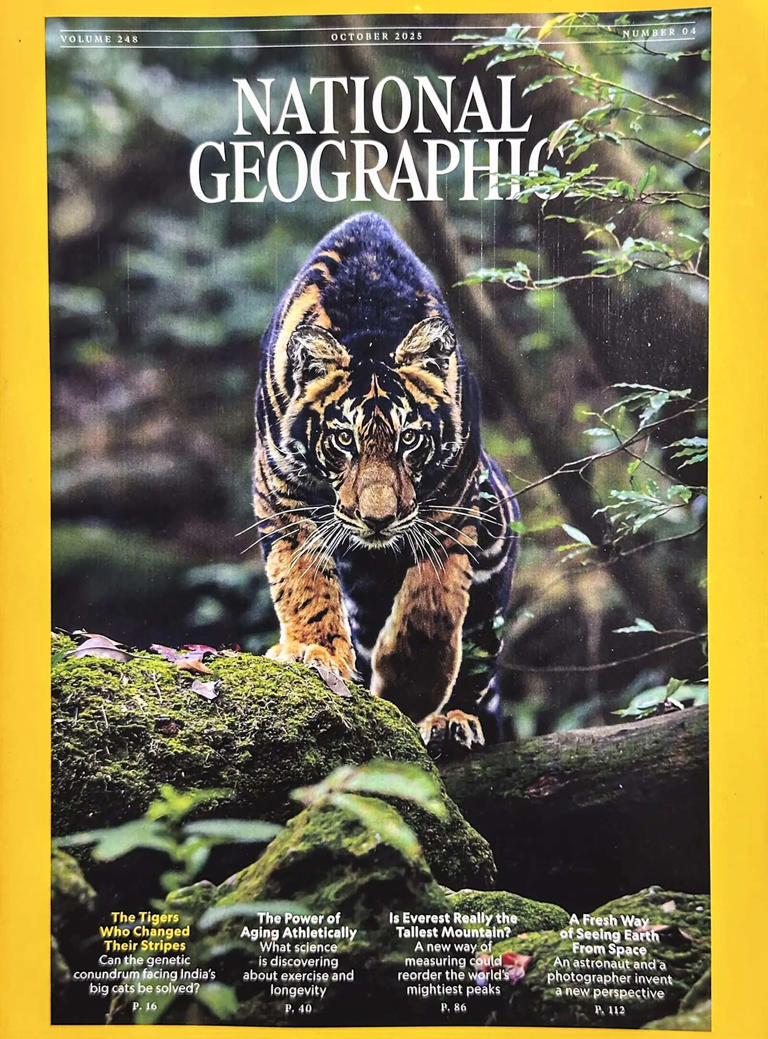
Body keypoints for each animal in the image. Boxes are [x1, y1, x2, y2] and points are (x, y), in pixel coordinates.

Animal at [252, 212, 519, 751]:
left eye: (409, 439)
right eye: (344, 440)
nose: (377, 520)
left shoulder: (454, 504)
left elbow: (432, 605)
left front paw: (411, 690)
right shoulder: (282, 492)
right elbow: (302, 581)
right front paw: (314, 652)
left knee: (477, 656)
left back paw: (453, 719)